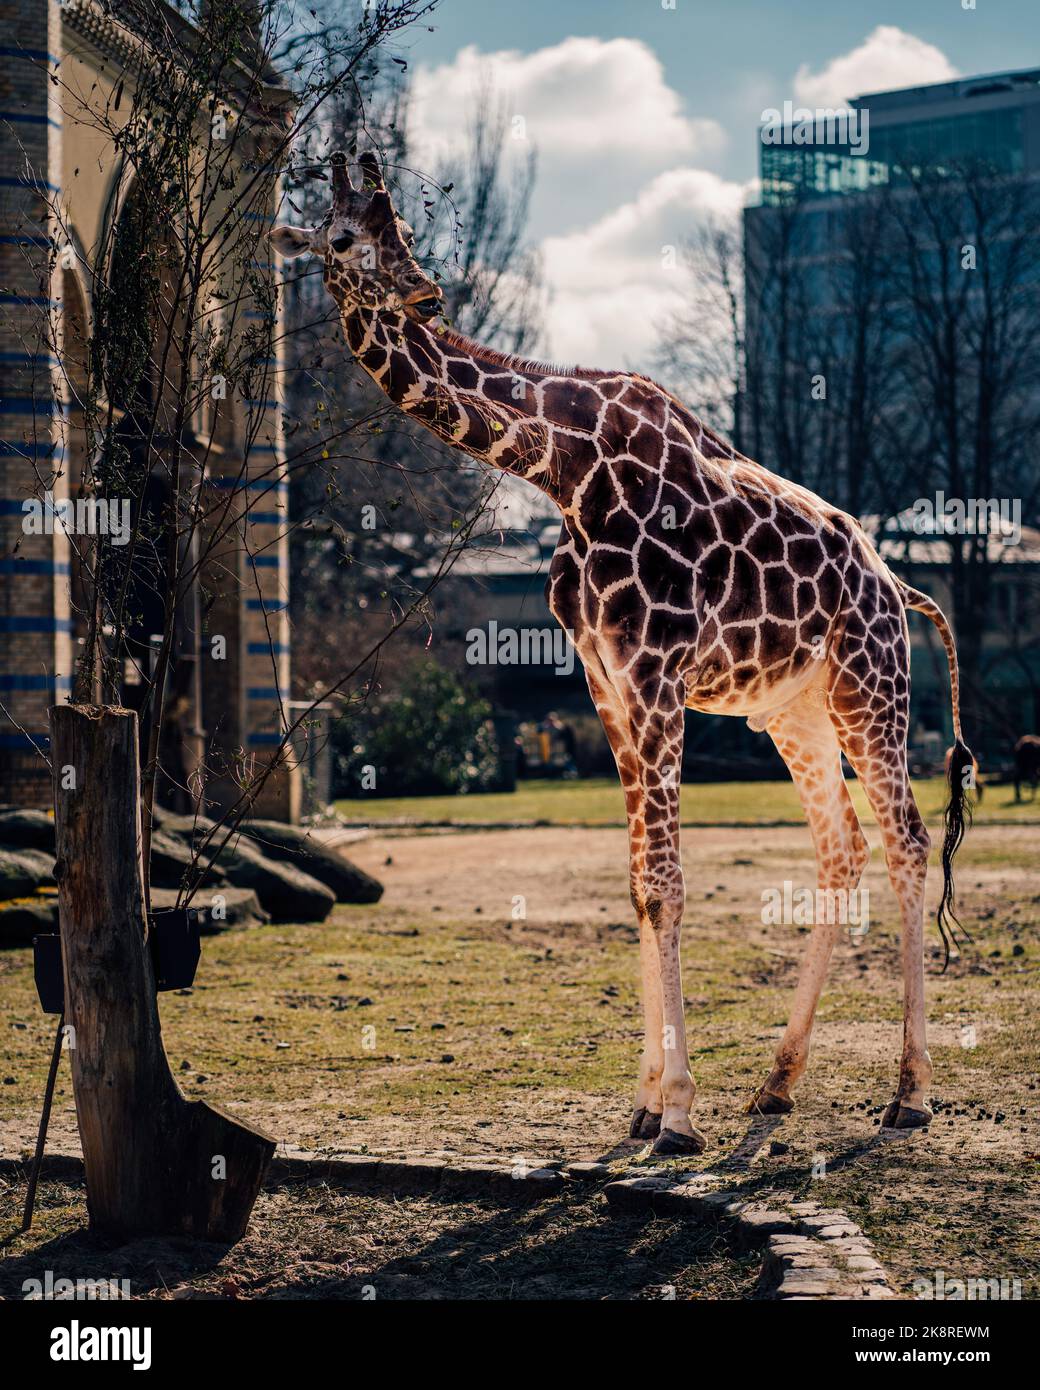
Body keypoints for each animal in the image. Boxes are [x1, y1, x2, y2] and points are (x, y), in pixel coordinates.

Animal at [272, 152, 974, 1155]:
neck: (563, 472)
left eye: (397, 227)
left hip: (869, 688)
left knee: (908, 839)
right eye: (339, 237)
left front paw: (677, 1113)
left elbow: (669, 884)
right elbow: (640, 881)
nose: (421, 291)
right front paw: (644, 1106)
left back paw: (910, 1092)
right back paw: (776, 1085)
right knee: (841, 846)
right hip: (791, 710)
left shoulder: (656, 673)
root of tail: (897, 582)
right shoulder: (606, 682)